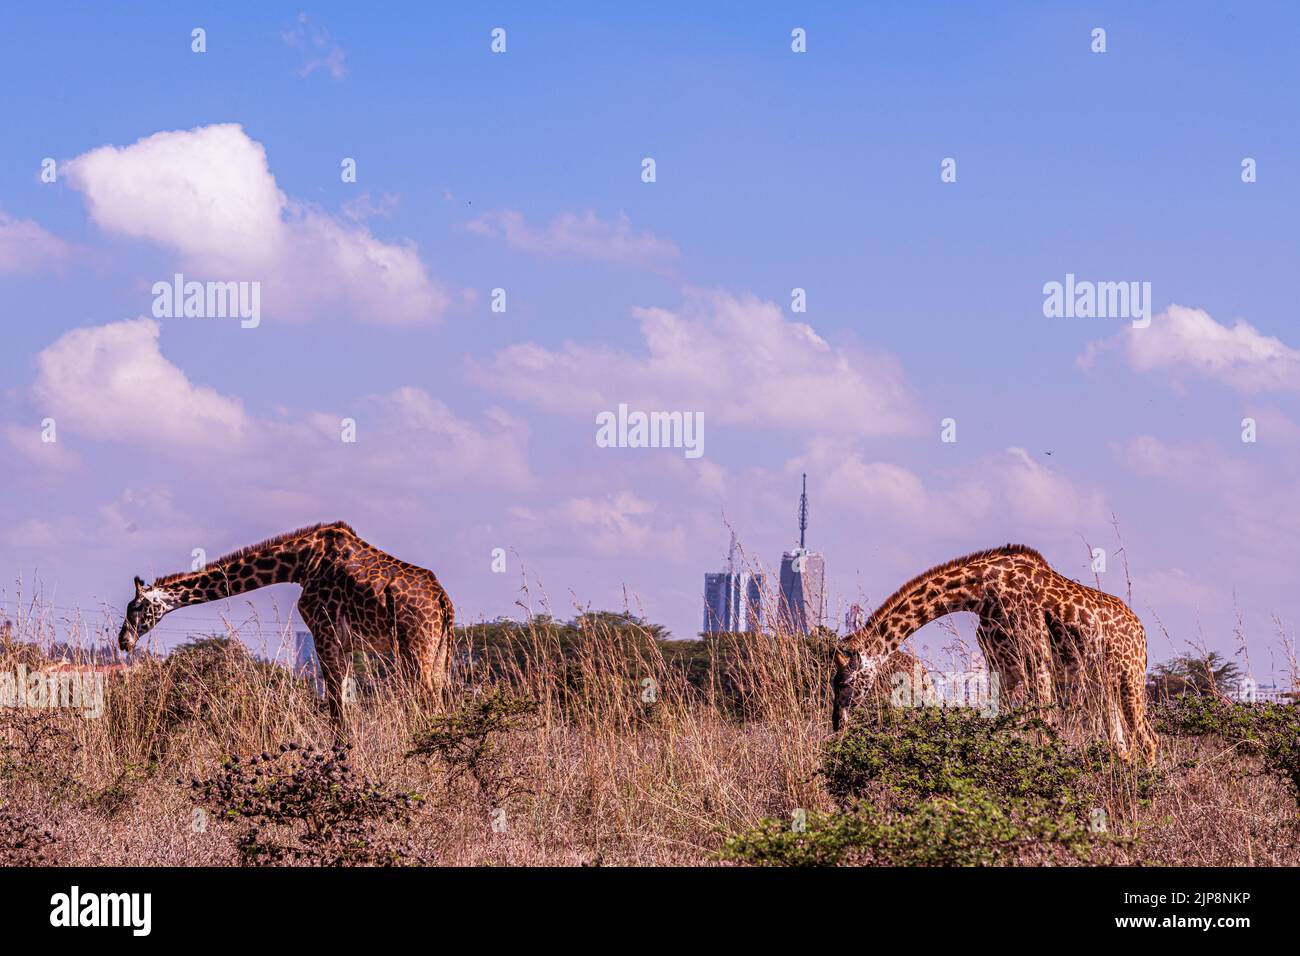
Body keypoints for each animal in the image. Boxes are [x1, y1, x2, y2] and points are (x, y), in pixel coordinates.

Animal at [117, 522, 454, 729]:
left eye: (136, 607)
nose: (123, 640)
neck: (300, 563)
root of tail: (443, 601)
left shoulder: (324, 630)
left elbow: (336, 708)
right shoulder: (343, 643)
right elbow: (343, 705)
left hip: (414, 649)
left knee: (430, 703)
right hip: (439, 652)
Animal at [830, 544, 1157, 762]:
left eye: (844, 682)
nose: (837, 724)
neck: (981, 592)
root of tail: (1142, 633)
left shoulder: (1037, 658)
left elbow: (1044, 726)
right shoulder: (1001, 665)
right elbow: (1003, 726)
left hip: (1129, 678)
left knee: (1147, 739)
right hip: (1101, 685)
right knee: (1121, 746)